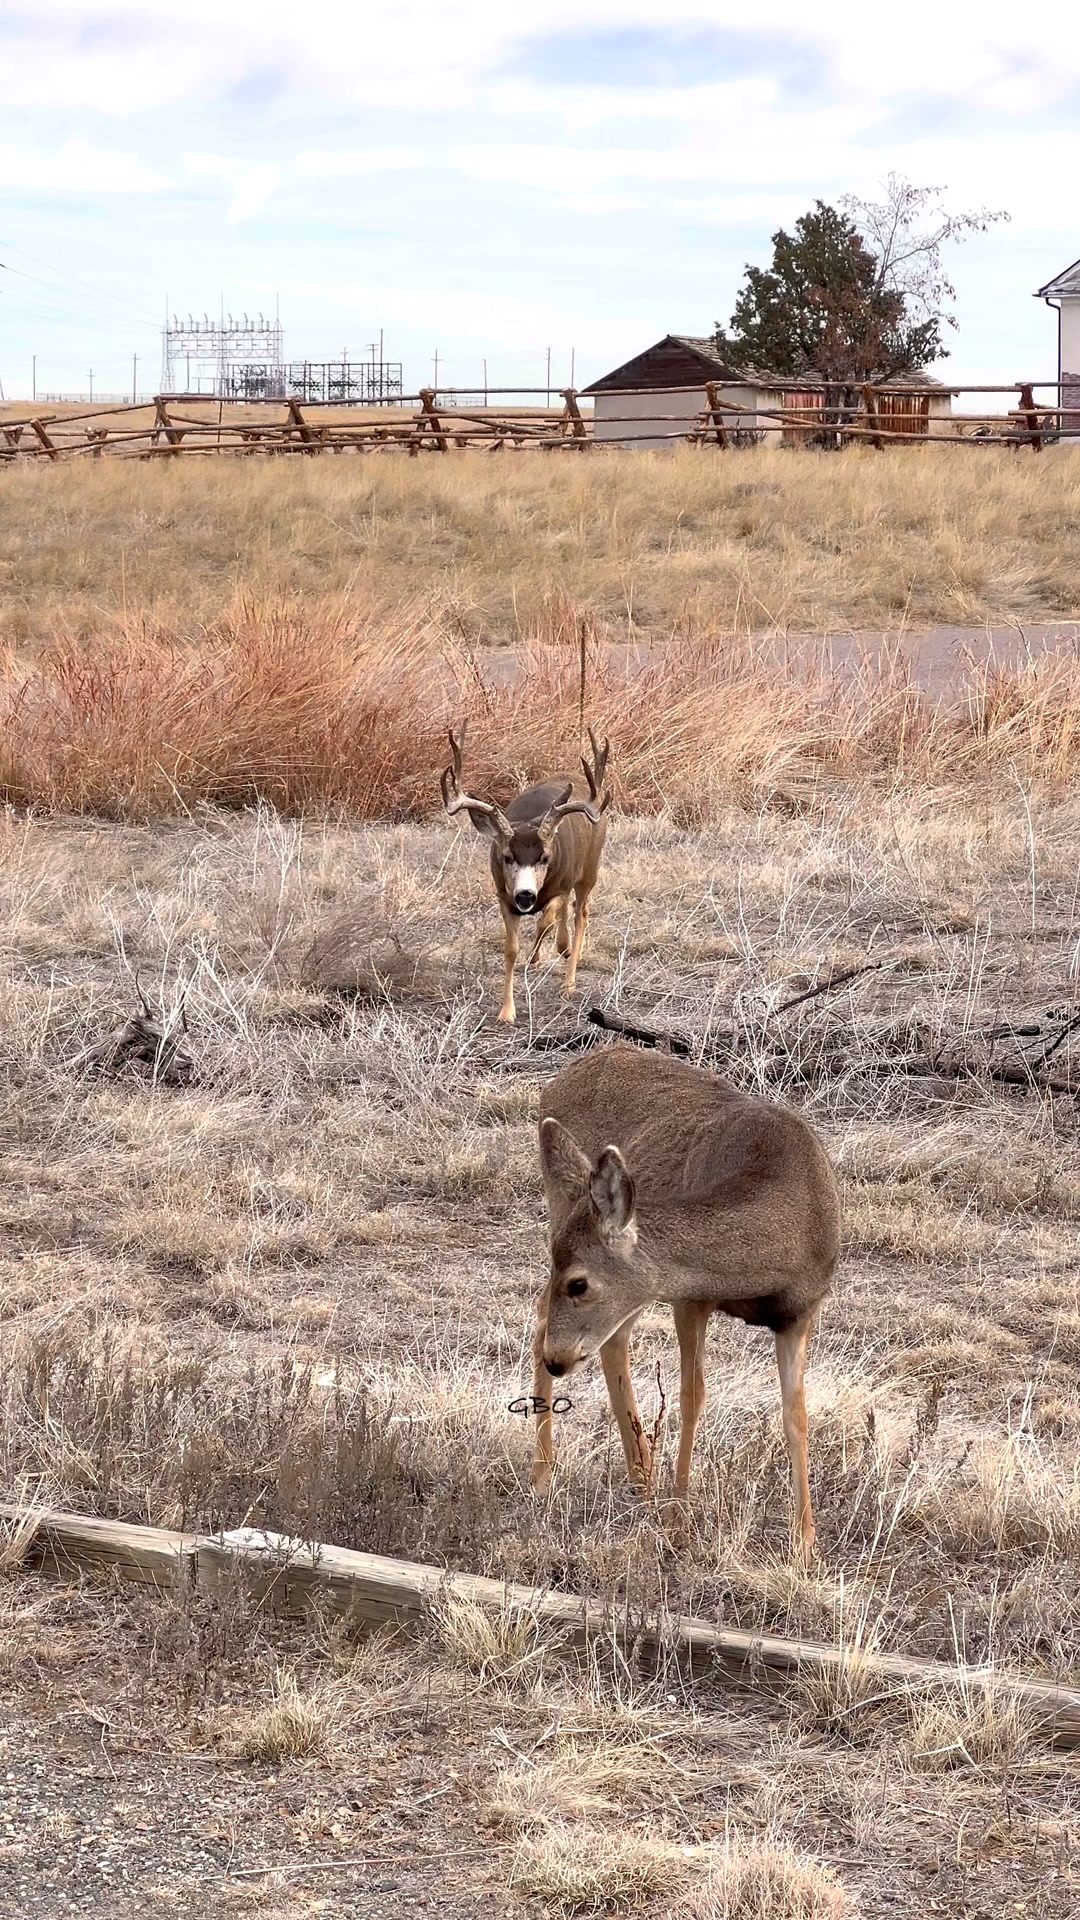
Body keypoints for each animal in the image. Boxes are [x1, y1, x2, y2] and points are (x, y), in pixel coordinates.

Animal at [440, 722, 611, 1024]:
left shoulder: (559, 886)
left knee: (581, 914)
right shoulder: (503, 897)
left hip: (589, 870)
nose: (526, 895)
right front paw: (506, 1011)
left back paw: (568, 980)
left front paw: (537, 956)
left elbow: (546, 920)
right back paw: (563, 949)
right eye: (507, 857)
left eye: (545, 857)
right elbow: (511, 950)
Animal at [528, 1044, 841, 1564]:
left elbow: (796, 1413)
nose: (559, 1359)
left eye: (579, 1284)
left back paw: (642, 1477)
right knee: (542, 1317)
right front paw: (678, 1523)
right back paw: (544, 1475)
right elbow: (692, 1398)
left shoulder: (803, 1309)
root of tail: (569, 1070)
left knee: (609, 1339)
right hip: (563, 1207)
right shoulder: (689, 1295)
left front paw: (804, 1544)